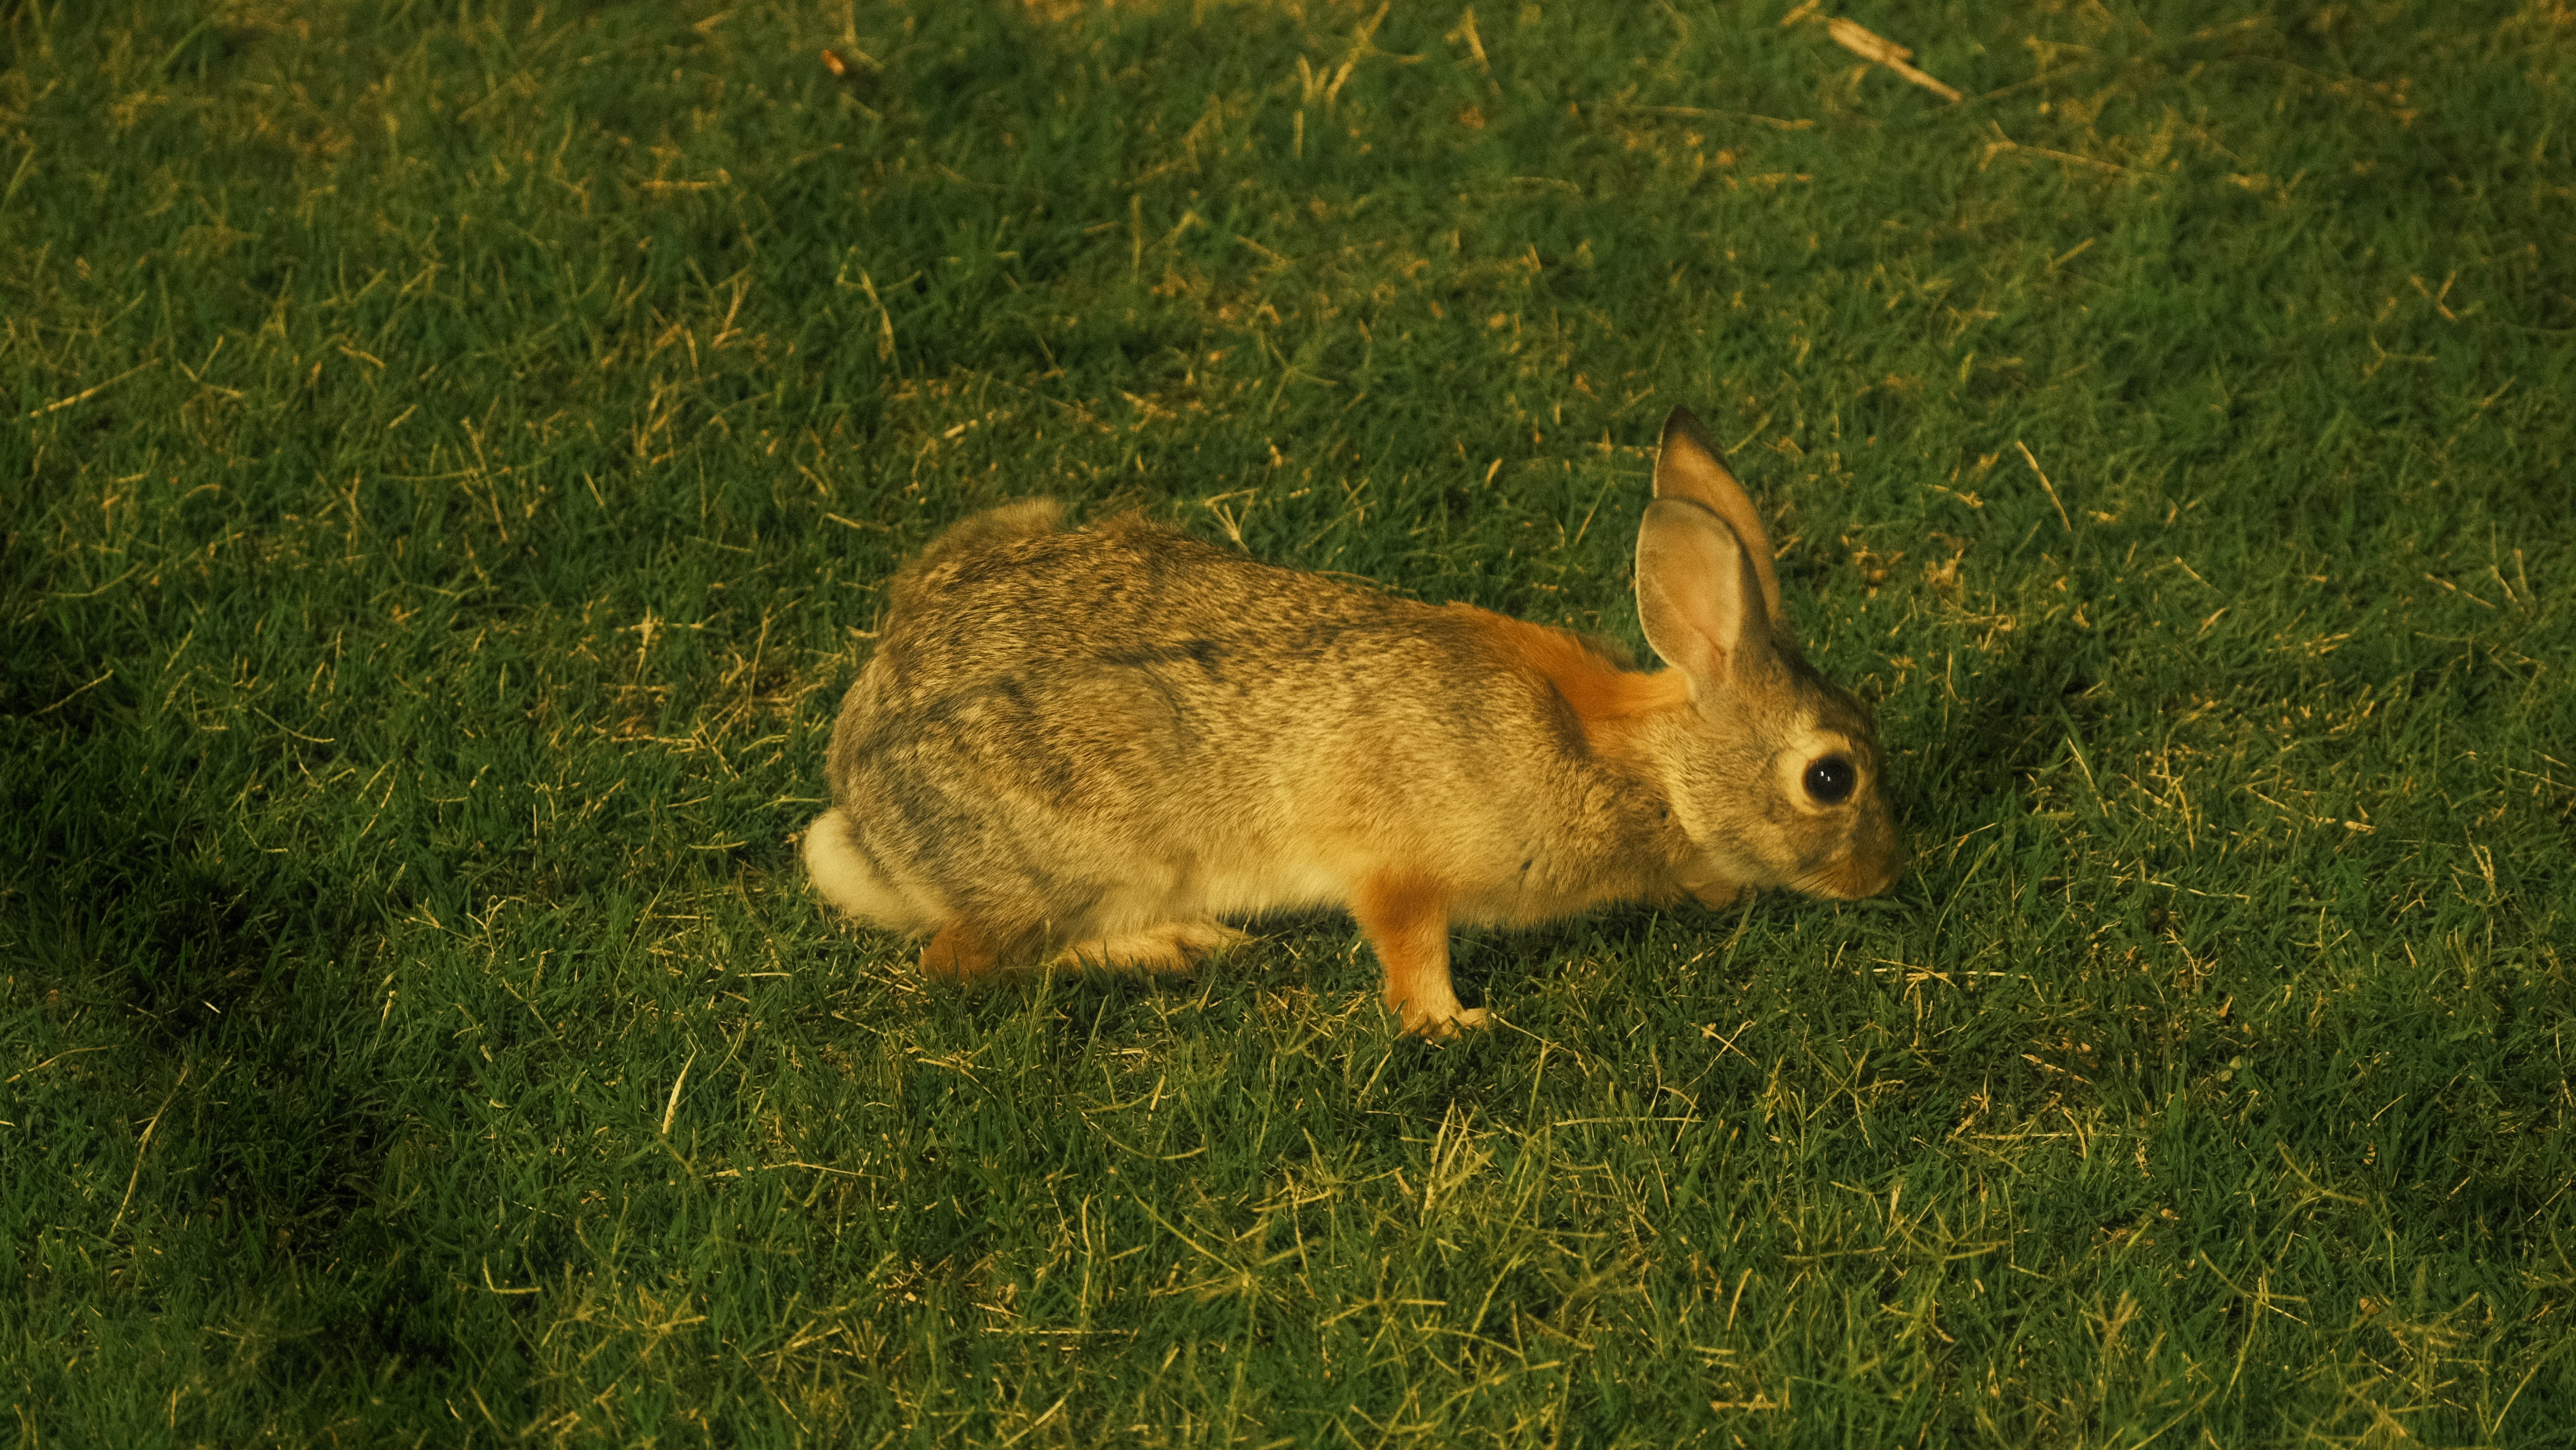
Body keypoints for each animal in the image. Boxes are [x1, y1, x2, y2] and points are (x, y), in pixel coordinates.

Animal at [802, 406, 1905, 1036]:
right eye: (1829, 777)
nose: (1884, 875)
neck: (1643, 767)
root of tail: (859, 797)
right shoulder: (1402, 864)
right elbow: (1408, 948)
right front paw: (1455, 1024)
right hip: (1079, 860)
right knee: (966, 963)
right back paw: (1173, 947)